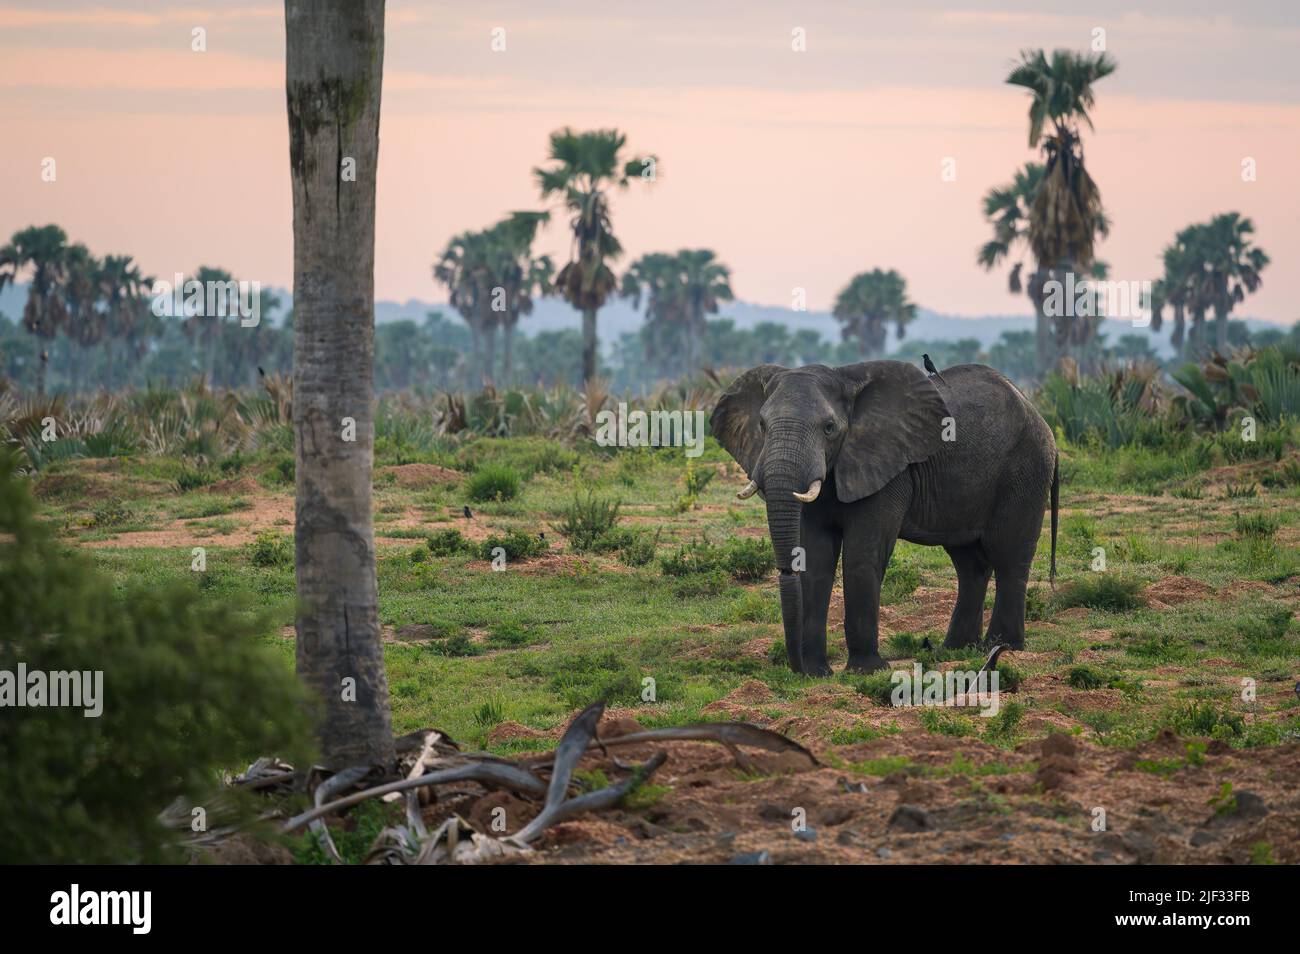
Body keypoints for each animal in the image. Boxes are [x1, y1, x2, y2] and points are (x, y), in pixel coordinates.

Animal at [710, 360, 1058, 676]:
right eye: (761, 425)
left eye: (829, 428)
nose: (798, 670)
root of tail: (1038, 414)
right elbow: (816, 558)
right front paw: (819, 672)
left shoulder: (888, 469)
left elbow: (862, 556)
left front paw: (865, 670)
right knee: (969, 563)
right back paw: (956, 649)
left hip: (1026, 468)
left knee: (1009, 555)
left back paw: (1002, 646)